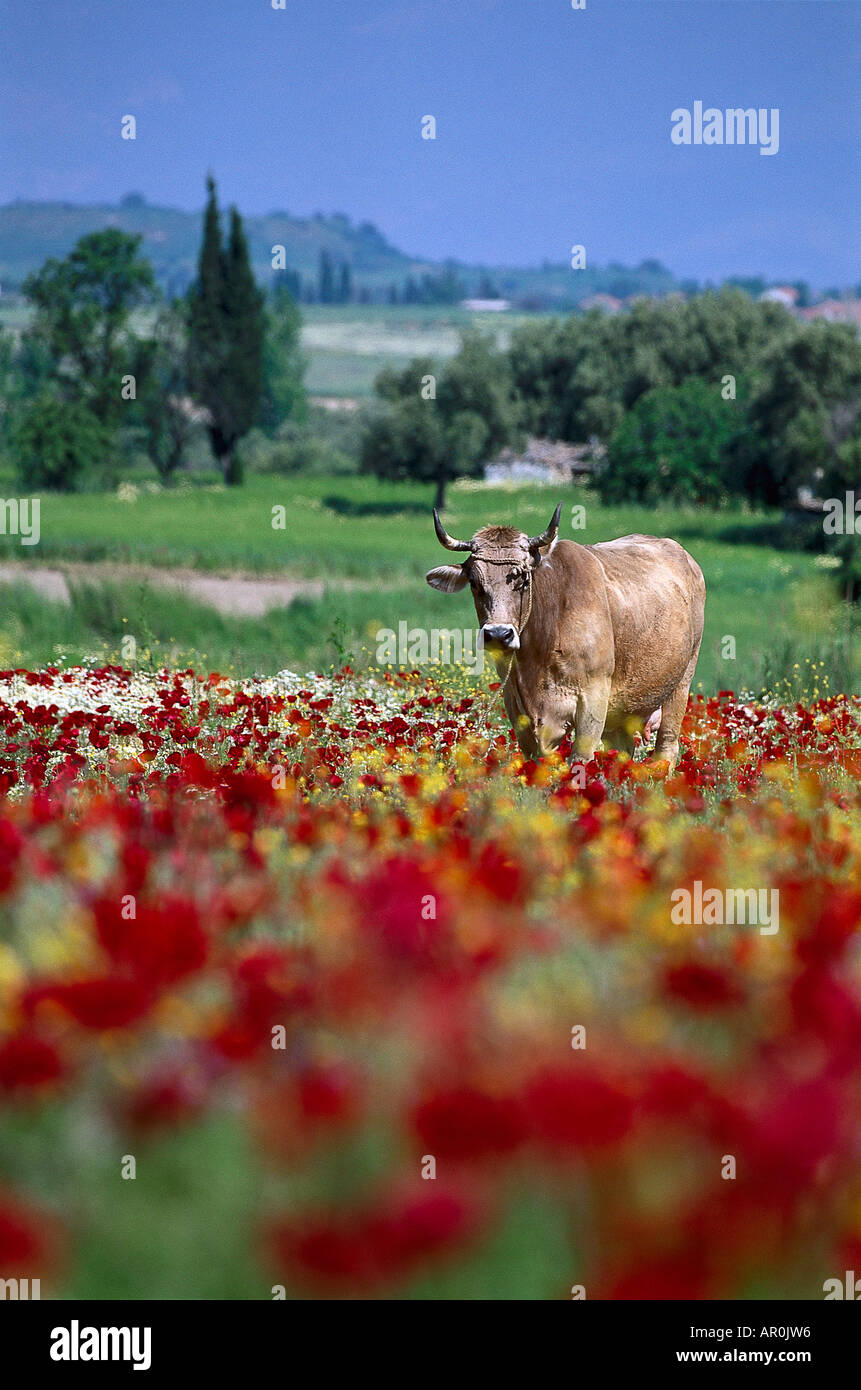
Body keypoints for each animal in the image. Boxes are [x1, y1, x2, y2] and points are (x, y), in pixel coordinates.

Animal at [426, 504, 705, 770]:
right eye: (474, 582)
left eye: (522, 579)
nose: (498, 634)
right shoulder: (514, 703)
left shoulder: (593, 698)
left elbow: (580, 760)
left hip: (681, 684)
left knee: (666, 748)